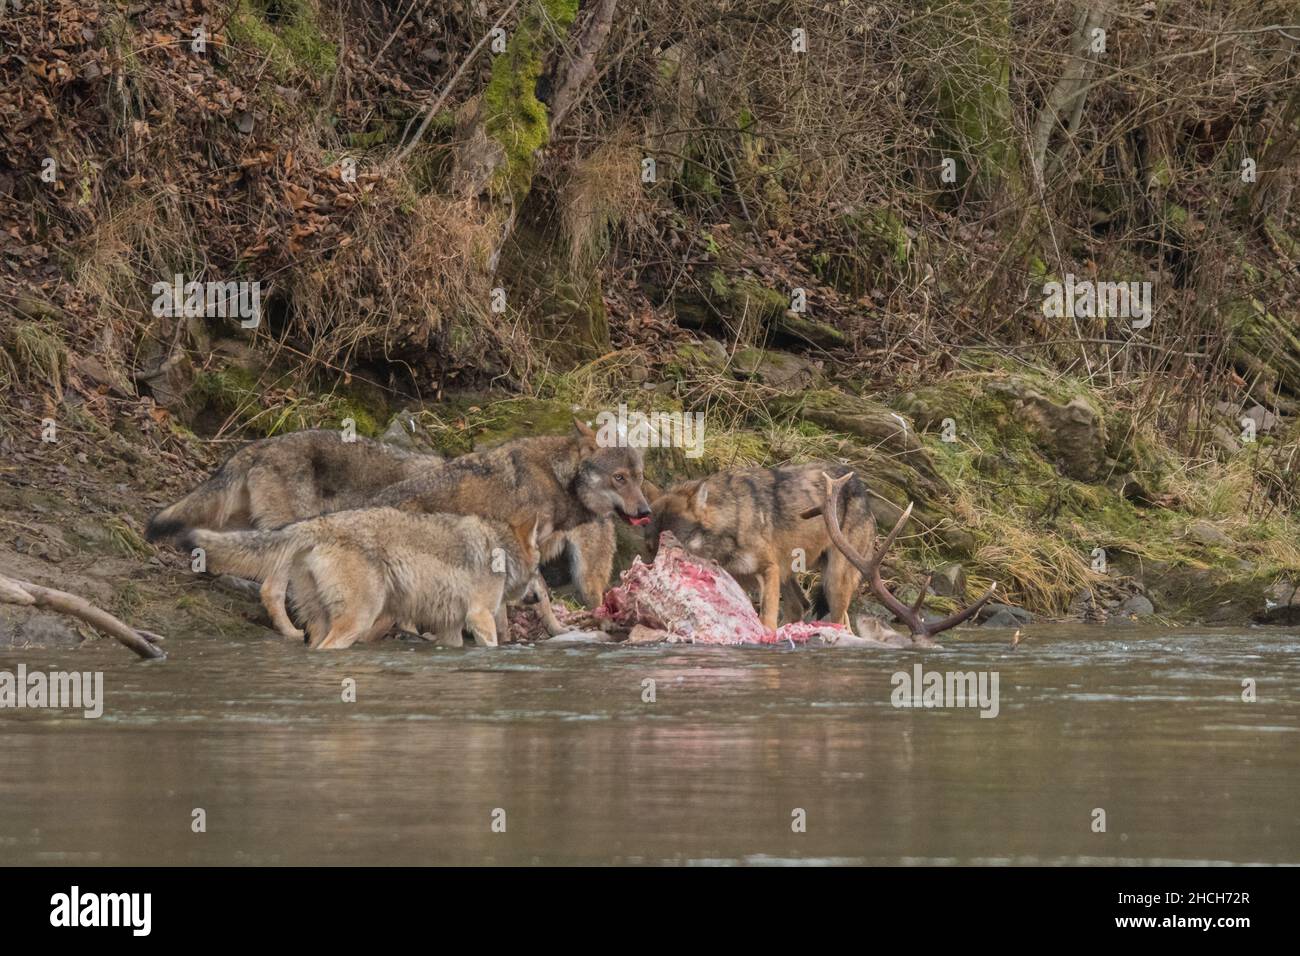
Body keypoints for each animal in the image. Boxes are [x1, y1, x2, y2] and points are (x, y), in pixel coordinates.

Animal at [181, 509, 543, 649]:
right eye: (540, 566)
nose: (537, 598)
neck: (501, 547)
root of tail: (317, 524)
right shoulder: (479, 617)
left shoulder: (451, 629)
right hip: (358, 619)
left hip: (323, 622)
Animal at [647, 463, 875, 631]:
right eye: (649, 547)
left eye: (673, 546)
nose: (651, 573)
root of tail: (860, 485)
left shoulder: (769, 569)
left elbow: (766, 618)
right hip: (791, 575)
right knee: (801, 607)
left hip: (834, 583)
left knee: (838, 621)